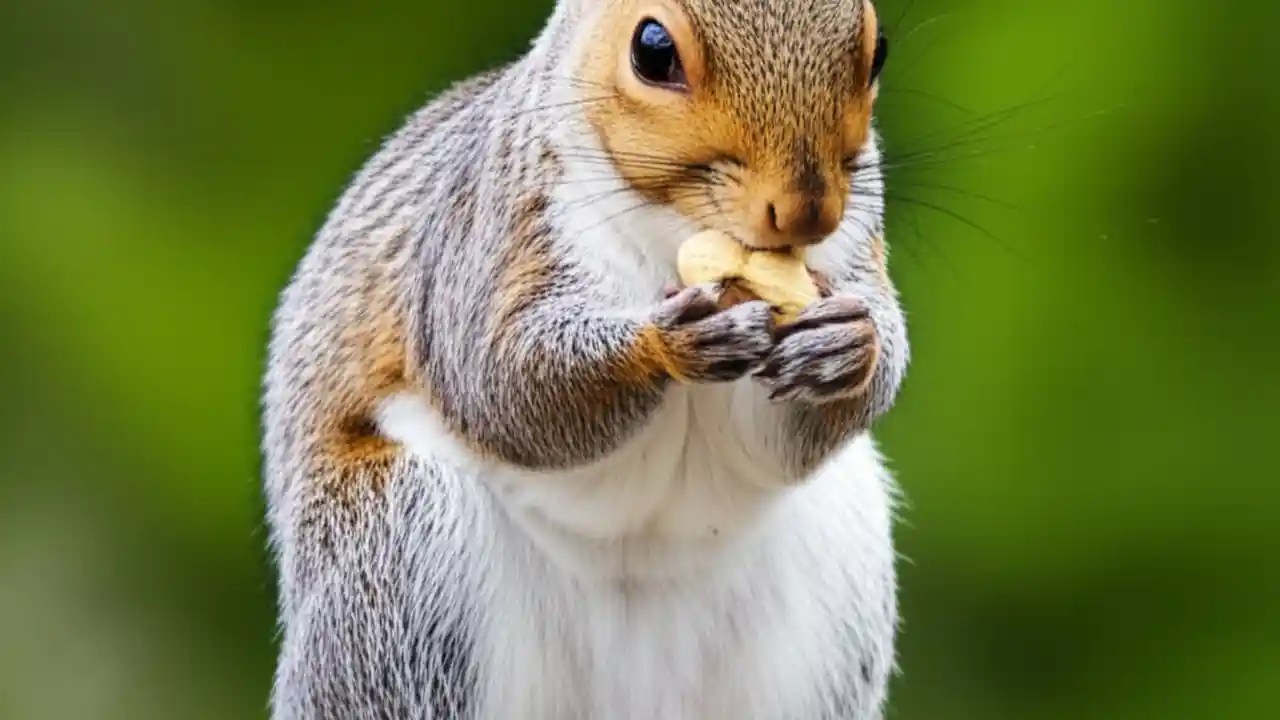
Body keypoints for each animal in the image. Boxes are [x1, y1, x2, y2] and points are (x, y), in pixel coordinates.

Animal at [262, 0, 908, 718]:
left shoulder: (854, 245)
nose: (806, 213)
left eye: (878, 50)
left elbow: (782, 436)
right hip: (398, 566)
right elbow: (502, 379)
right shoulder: (488, 236)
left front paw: (850, 344)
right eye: (652, 50)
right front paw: (666, 342)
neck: (679, 229)